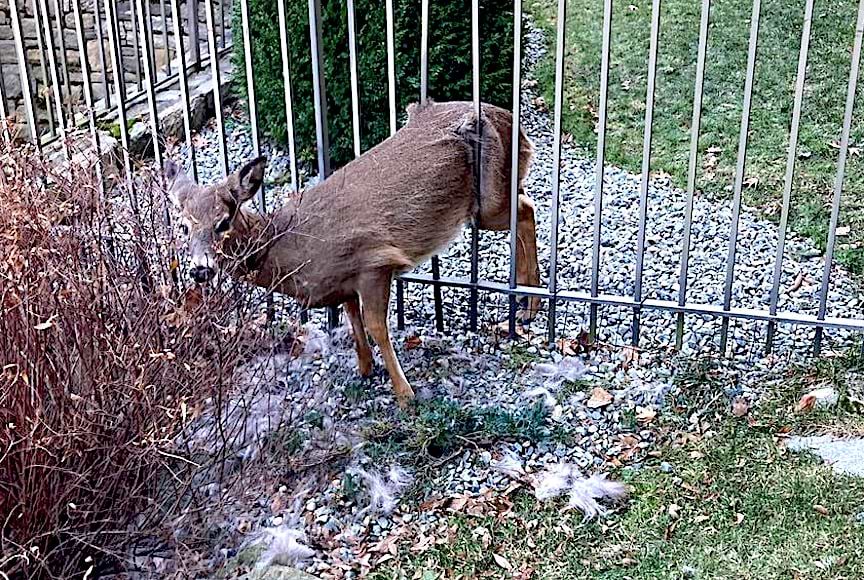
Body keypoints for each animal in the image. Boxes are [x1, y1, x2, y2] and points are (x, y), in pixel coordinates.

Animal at [164, 100, 540, 408]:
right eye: (182, 226)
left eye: (223, 222)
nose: (200, 270)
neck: (288, 245)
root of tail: (512, 123)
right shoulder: (344, 278)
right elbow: (352, 317)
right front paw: (364, 367)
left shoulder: (374, 261)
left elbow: (376, 325)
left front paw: (405, 394)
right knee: (525, 207)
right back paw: (524, 299)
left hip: (487, 201)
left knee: (526, 210)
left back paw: (530, 305)